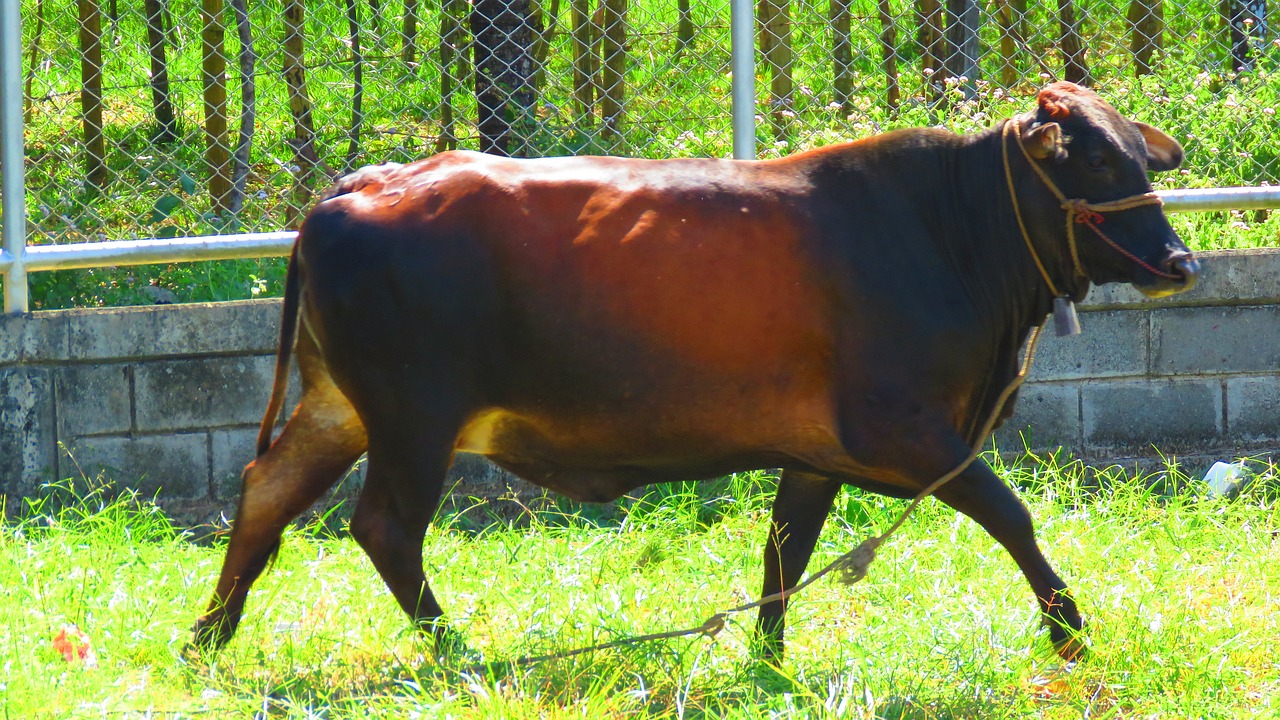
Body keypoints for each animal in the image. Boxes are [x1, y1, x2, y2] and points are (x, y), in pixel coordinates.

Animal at [192, 82, 1199, 661]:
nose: (1181, 261)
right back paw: (458, 656)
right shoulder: (903, 427)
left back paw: (210, 636)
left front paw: (767, 661)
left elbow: (785, 552)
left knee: (266, 489)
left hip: (341, 407)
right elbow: (1009, 512)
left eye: (1138, 151)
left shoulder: (818, 450)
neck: (949, 232)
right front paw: (1069, 632)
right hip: (413, 415)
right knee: (385, 528)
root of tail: (362, 183)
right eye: (1095, 156)